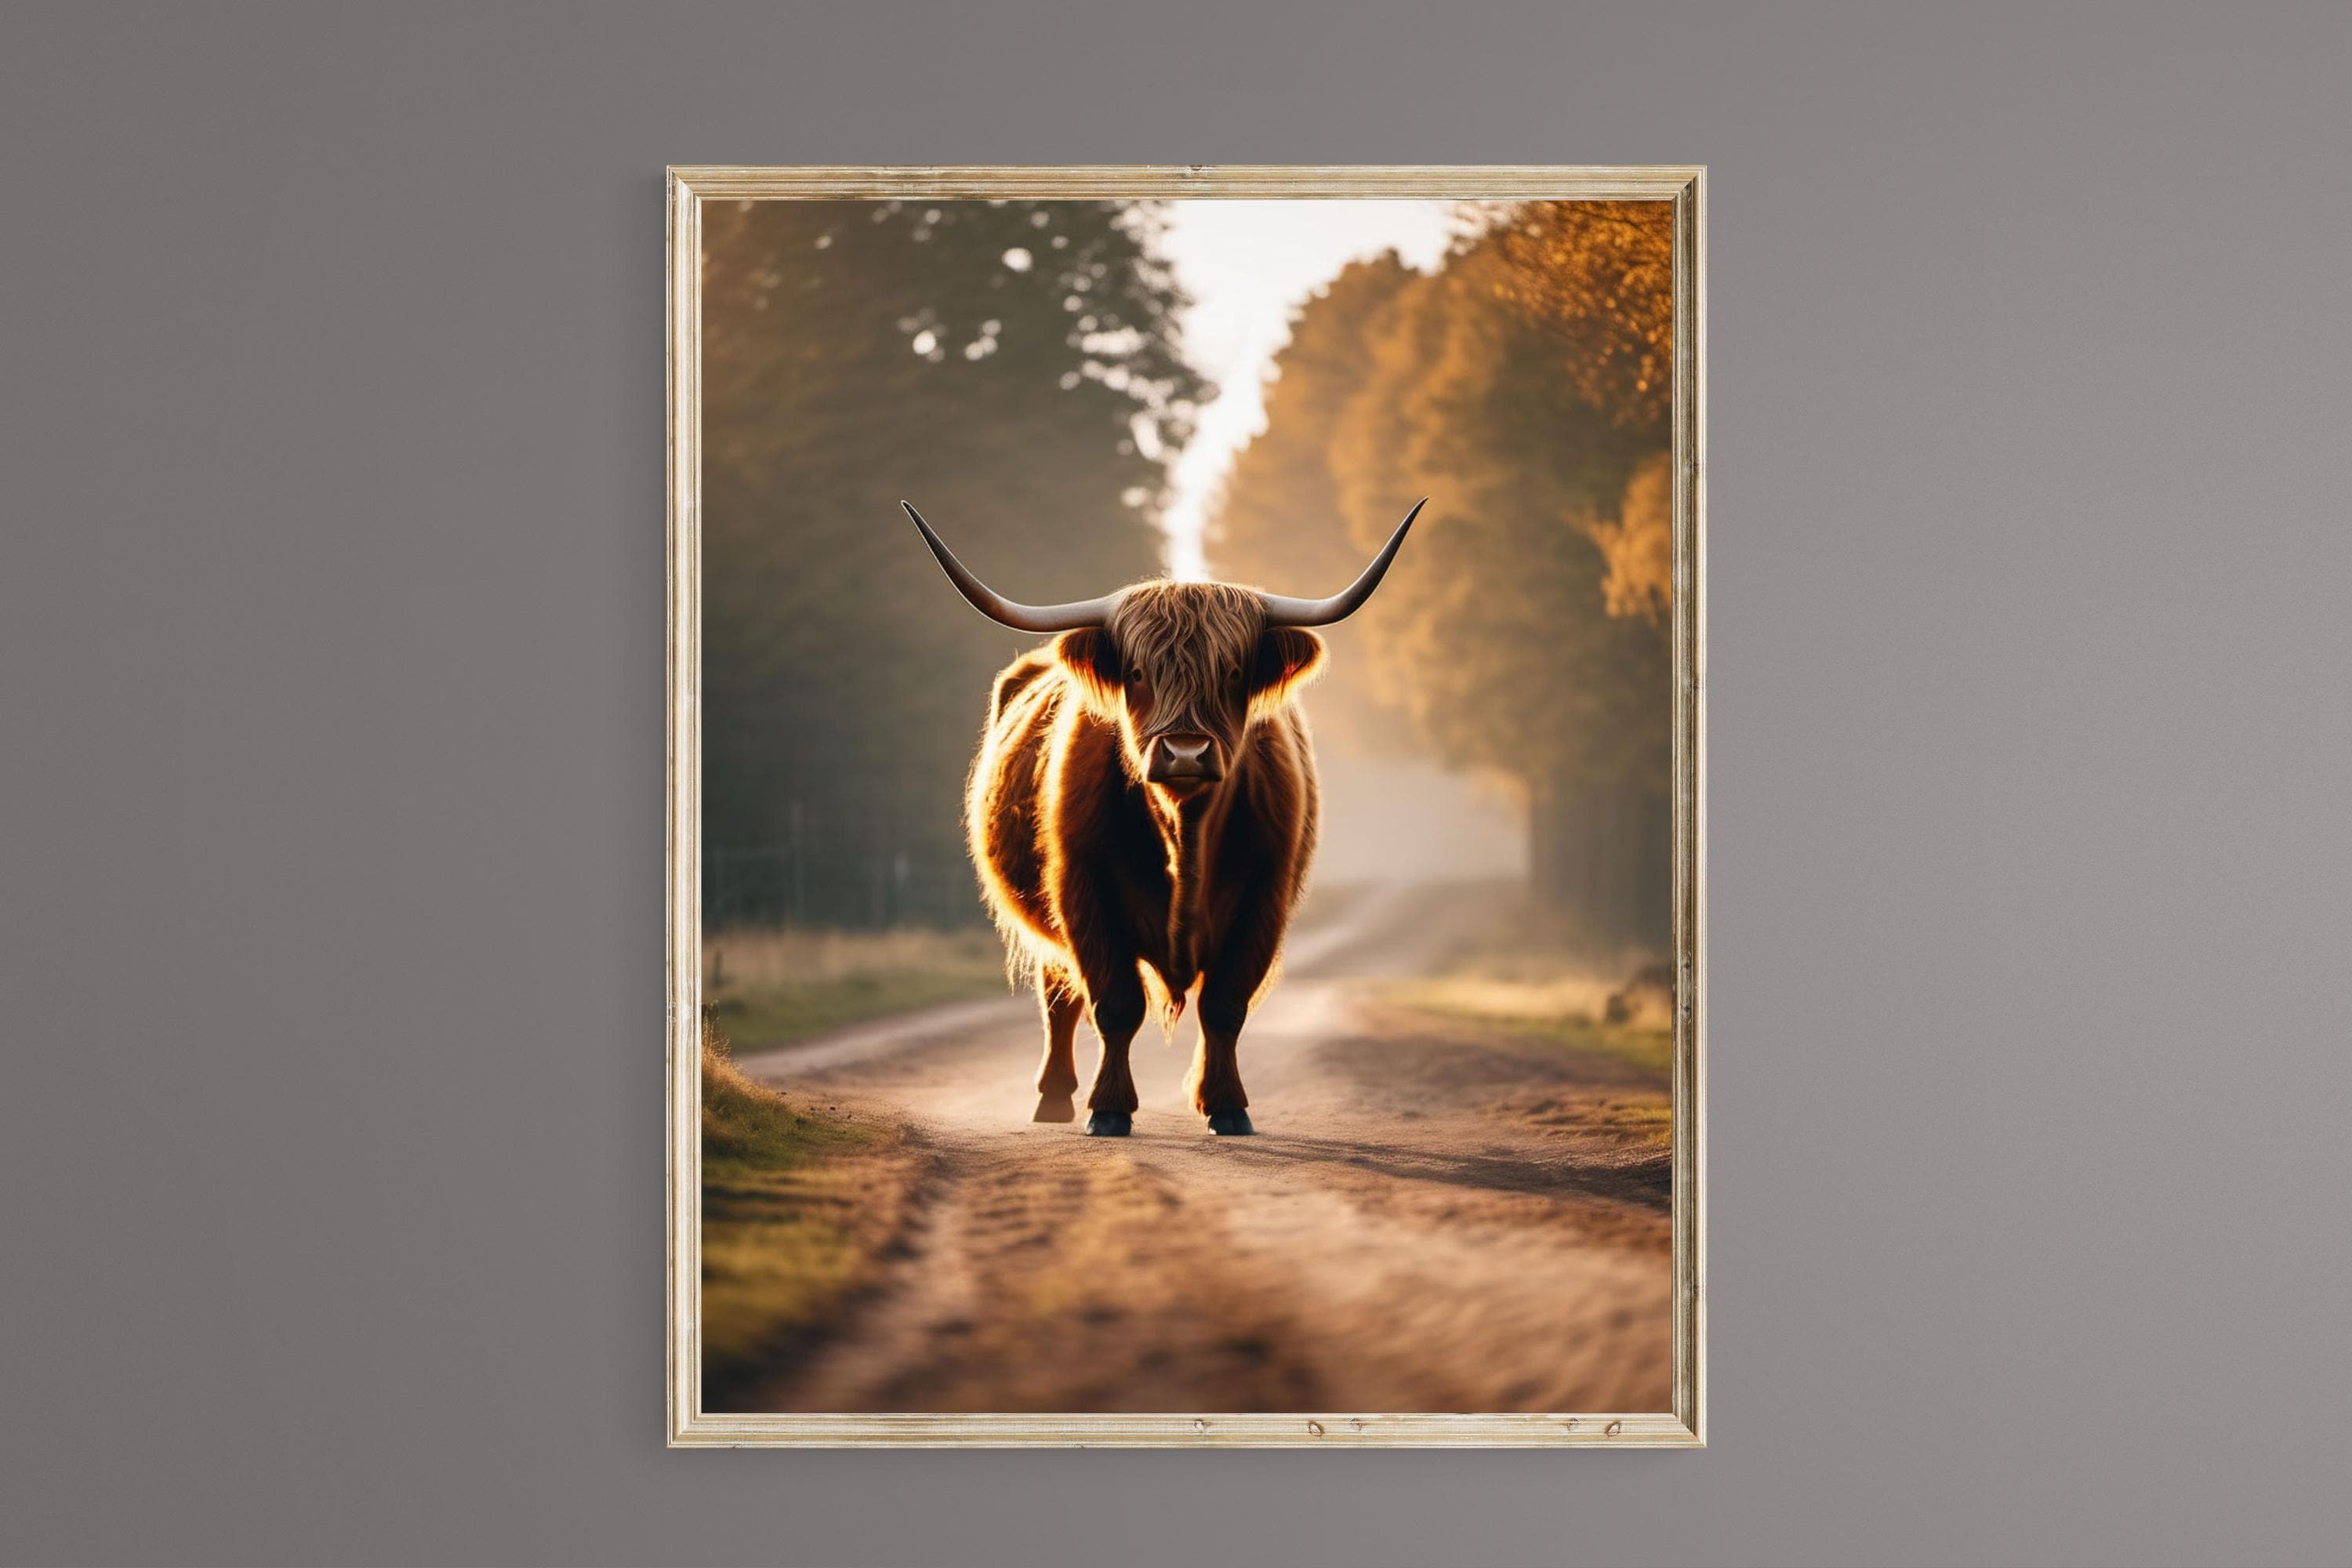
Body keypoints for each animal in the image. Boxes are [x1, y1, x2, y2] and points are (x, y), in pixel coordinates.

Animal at [902, 498, 1424, 1136]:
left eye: (1232, 671)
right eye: (1138, 673)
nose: (1185, 752)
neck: (1185, 829)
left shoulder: (1264, 898)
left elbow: (1225, 1005)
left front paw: (1226, 1106)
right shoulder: (1083, 890)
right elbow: (1115, 1003)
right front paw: (1107, 1109)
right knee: (1059, 997)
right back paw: (1053, 1099)